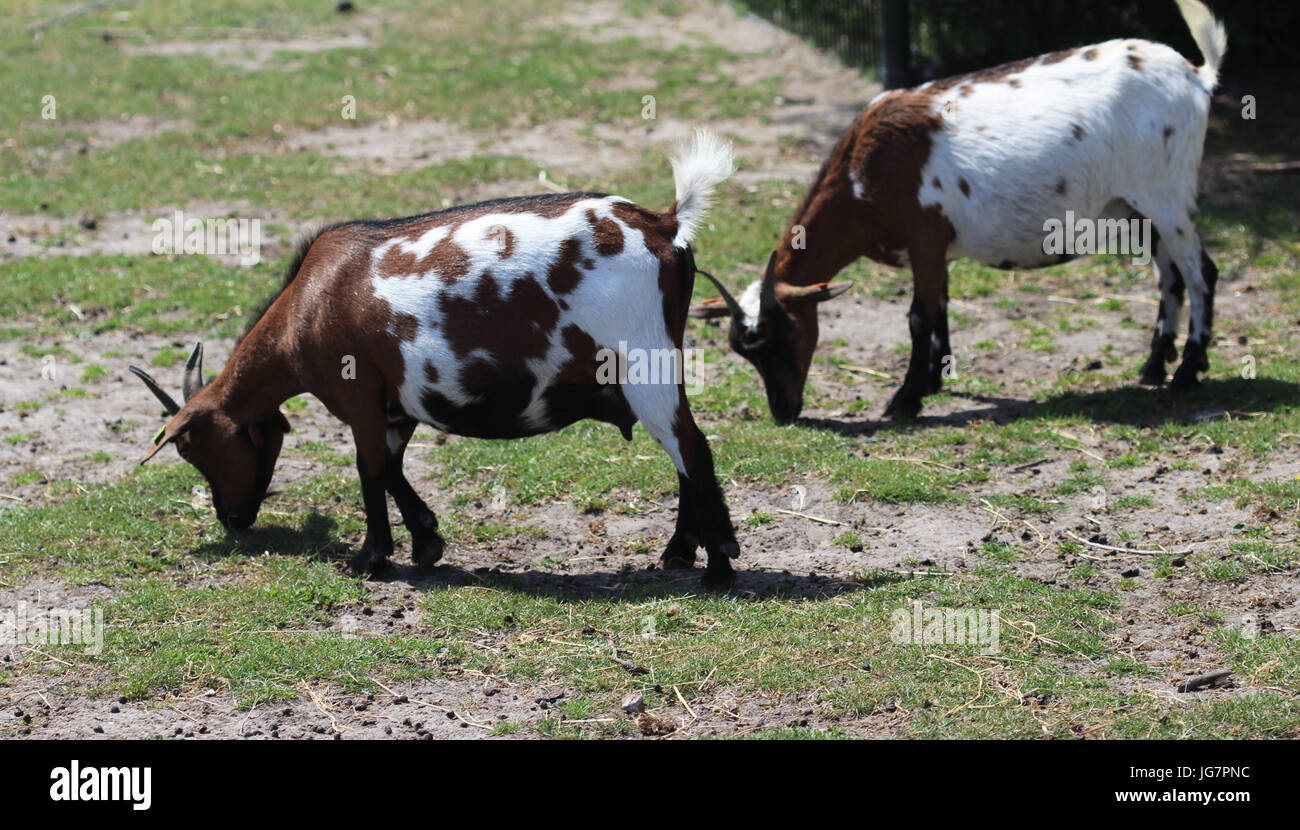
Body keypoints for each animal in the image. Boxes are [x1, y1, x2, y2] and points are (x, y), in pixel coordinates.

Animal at [130, 130, 742, 588]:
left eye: (191, 448)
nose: (233, 521)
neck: (311, 300)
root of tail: (663, 223)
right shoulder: (396, 404)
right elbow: (393, 467)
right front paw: (426, 541)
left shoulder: (358, 394)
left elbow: (369, 469)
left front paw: (370, 557)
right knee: (687, 448)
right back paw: (681, 551)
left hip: (644, 359)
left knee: (691, 448)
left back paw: (718, 564)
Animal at [691, 0, 1226, 423]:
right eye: (744, 352)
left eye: (791, 334)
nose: (783, 412)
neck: (867, 172)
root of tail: (1196, 74)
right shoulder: (937, 249)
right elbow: (941, 309)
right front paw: (933, 380)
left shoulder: (925, 239)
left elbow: (918, 316)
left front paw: (905, 398)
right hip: (1136, 208)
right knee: (1169, 276)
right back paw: (1153, 367)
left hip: (1167, 193)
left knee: (1200, 271)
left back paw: (1187, 370)